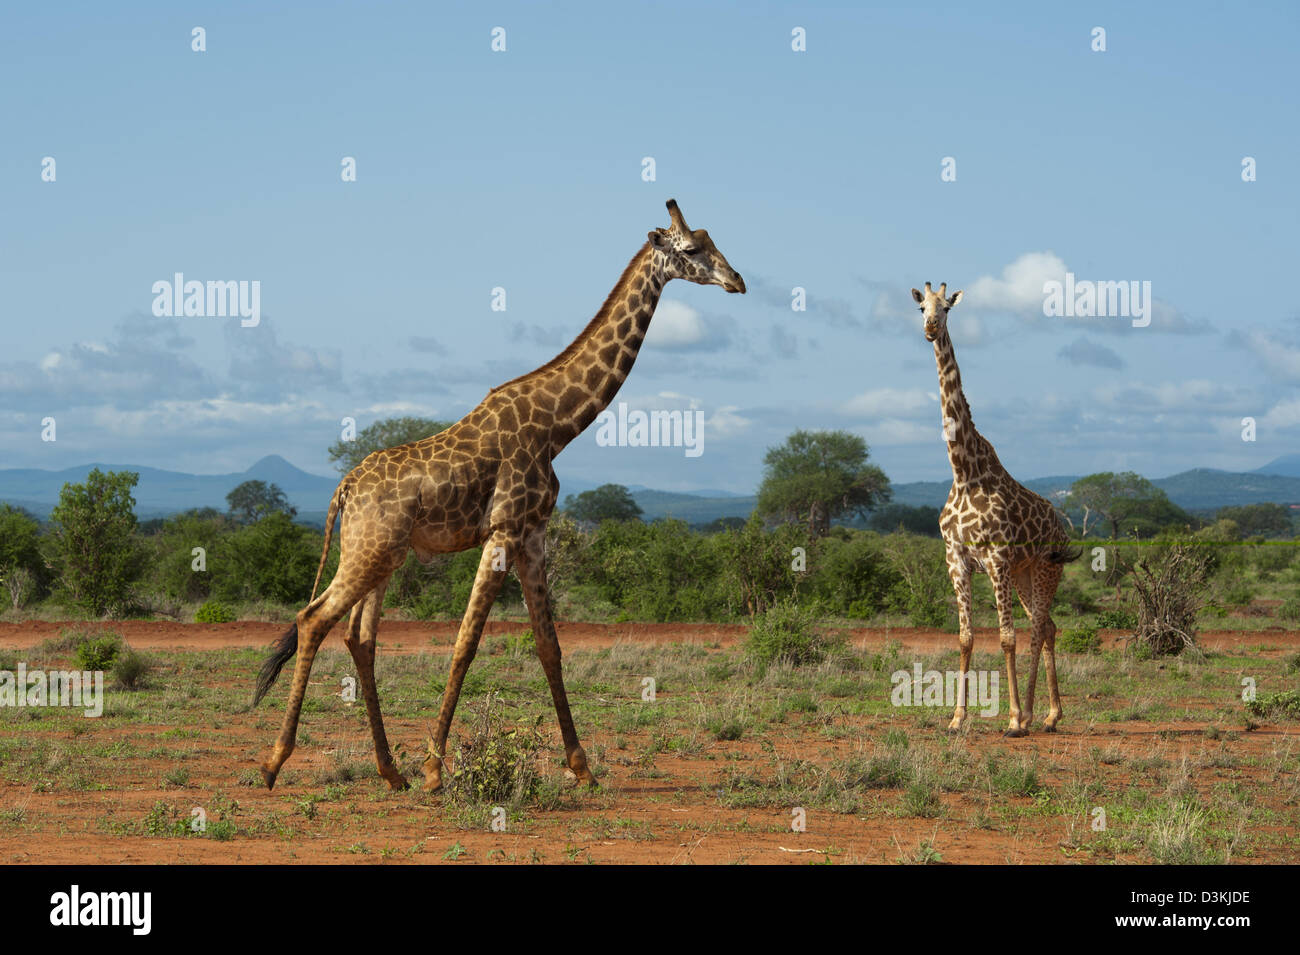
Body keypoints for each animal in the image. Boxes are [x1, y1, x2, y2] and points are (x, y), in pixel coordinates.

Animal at [252, 199, 745, 792]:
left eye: (713, 240)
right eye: (692, 248)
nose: (737, 280)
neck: (559, 425)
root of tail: (343, 489)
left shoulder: (532, 534)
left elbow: (549, 646)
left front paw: (582, 767)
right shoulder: (504, 529)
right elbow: (465, 643)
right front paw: (435, 768)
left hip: (382, 556)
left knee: (358, 637)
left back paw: (390, 771)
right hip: (368, 552)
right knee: (312, 620)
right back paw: (275, 763)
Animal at [911, 281, 1078, 737]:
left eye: (947, 307)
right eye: (921, 306)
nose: (931, 328)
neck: (965, 471)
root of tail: (1062, 525)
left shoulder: (997, 557)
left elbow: (1006, 637)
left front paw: (1013, 718)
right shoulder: (957, 558)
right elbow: (966, 637)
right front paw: (956, 718)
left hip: (1045, 568)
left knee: (1037, 627)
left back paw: (1030, 716)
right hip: (1023, 574)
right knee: (1048, 625)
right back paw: (1049, 714)